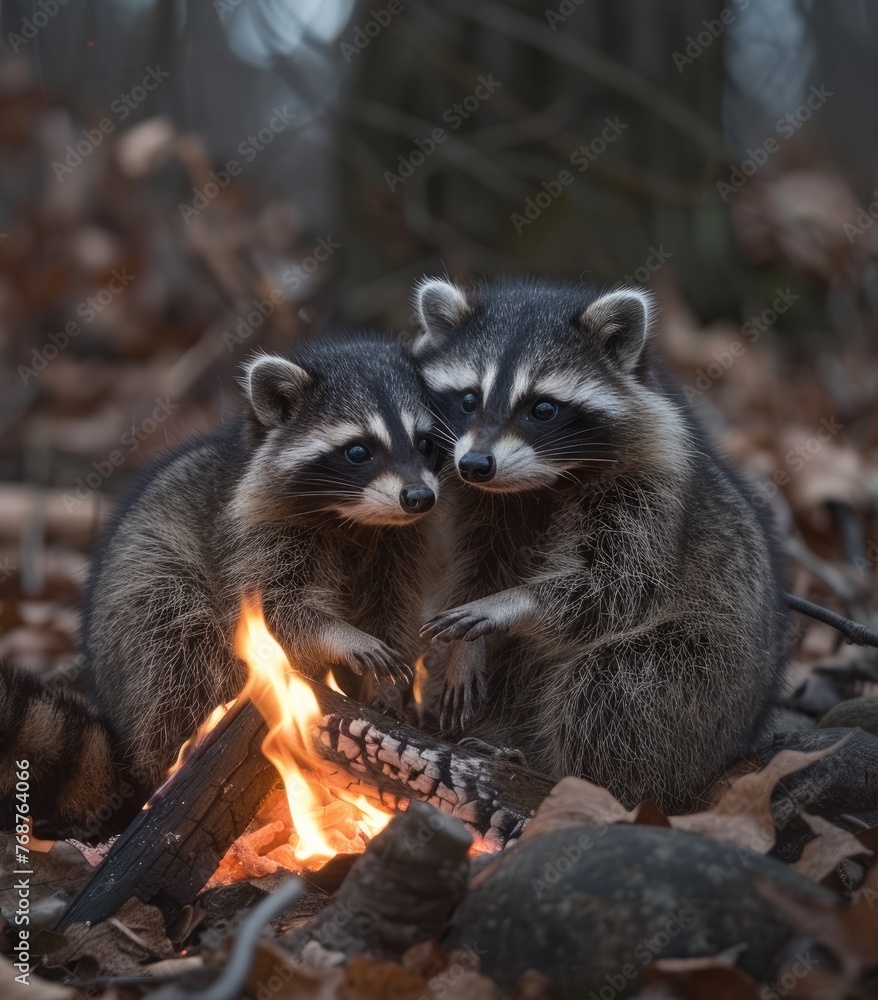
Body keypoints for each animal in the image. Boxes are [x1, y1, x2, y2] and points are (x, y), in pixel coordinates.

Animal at [2, 334, 441, 833]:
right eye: (358, 450)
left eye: (425, 442)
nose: (419, 497)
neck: (356, 519)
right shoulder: (251, 534)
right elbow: (280, 610)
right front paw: (341, 636)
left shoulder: (399, 546)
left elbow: (392, 609)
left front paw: (385, 688)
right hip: (146, 598)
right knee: (176, 641)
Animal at [413, 277, 791, 813]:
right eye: (468, 399)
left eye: (543, 408)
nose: (476, 464)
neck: (534, 486)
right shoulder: (478, 506)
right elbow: (474, 569)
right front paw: (468, 649)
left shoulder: (647, 492)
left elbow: (616, 588)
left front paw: (513, 601)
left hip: (705, 680)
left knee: (615, 685)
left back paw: (578, 778)